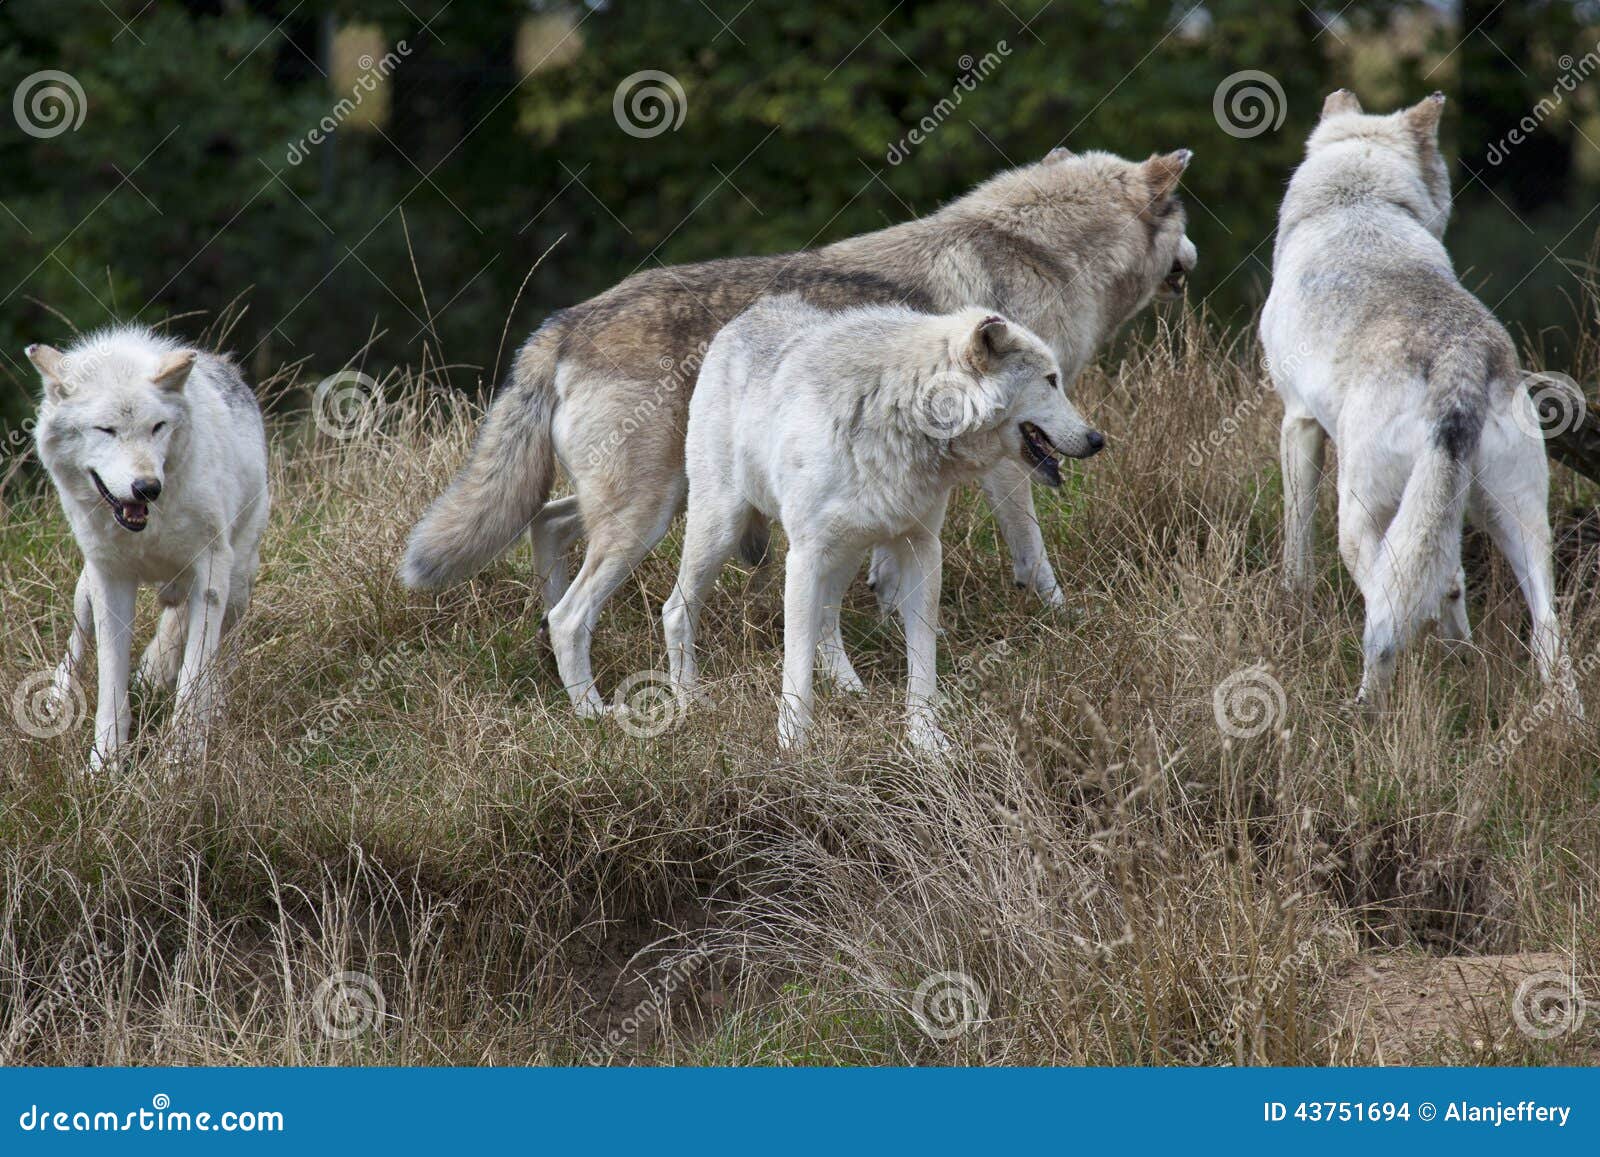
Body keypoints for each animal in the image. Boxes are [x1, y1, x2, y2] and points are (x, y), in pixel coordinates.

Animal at [27, 327, 271, 771]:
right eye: (106, 430)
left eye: (157, 427)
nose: (146, 487)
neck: (149, 529)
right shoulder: (110, 579)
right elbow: (111, 684)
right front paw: (104, 766)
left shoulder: (211, 575)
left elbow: (193, 680)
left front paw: (181, 763)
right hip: (86, 587)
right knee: (76, 645)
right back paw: (56, 698)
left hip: (237, 586)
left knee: (216, 657)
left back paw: (217, 709)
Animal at [664, 298, 1101, 751]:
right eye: (1051, 380)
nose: (1097, 439)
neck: (899, 410)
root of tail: (749, 314)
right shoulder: (804, 557)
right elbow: (796, 666)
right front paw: (794, 744)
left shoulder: (923, 546)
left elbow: (922, 662)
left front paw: (927, 741)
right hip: (722, 530)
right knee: (675, 610)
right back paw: (690, 701)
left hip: (848, 552)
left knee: (827, 621)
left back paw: (850, 689)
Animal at [1261, 91, 1580, 713]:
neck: (1357, 201)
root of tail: (1461, 359)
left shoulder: (1298, 423)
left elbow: (1295, 539)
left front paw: (1290, 601)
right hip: (1516, 517)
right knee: (1543, 632)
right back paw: (1529, 699)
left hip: (1361, 516)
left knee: (1391, 611)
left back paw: (1369, 708)